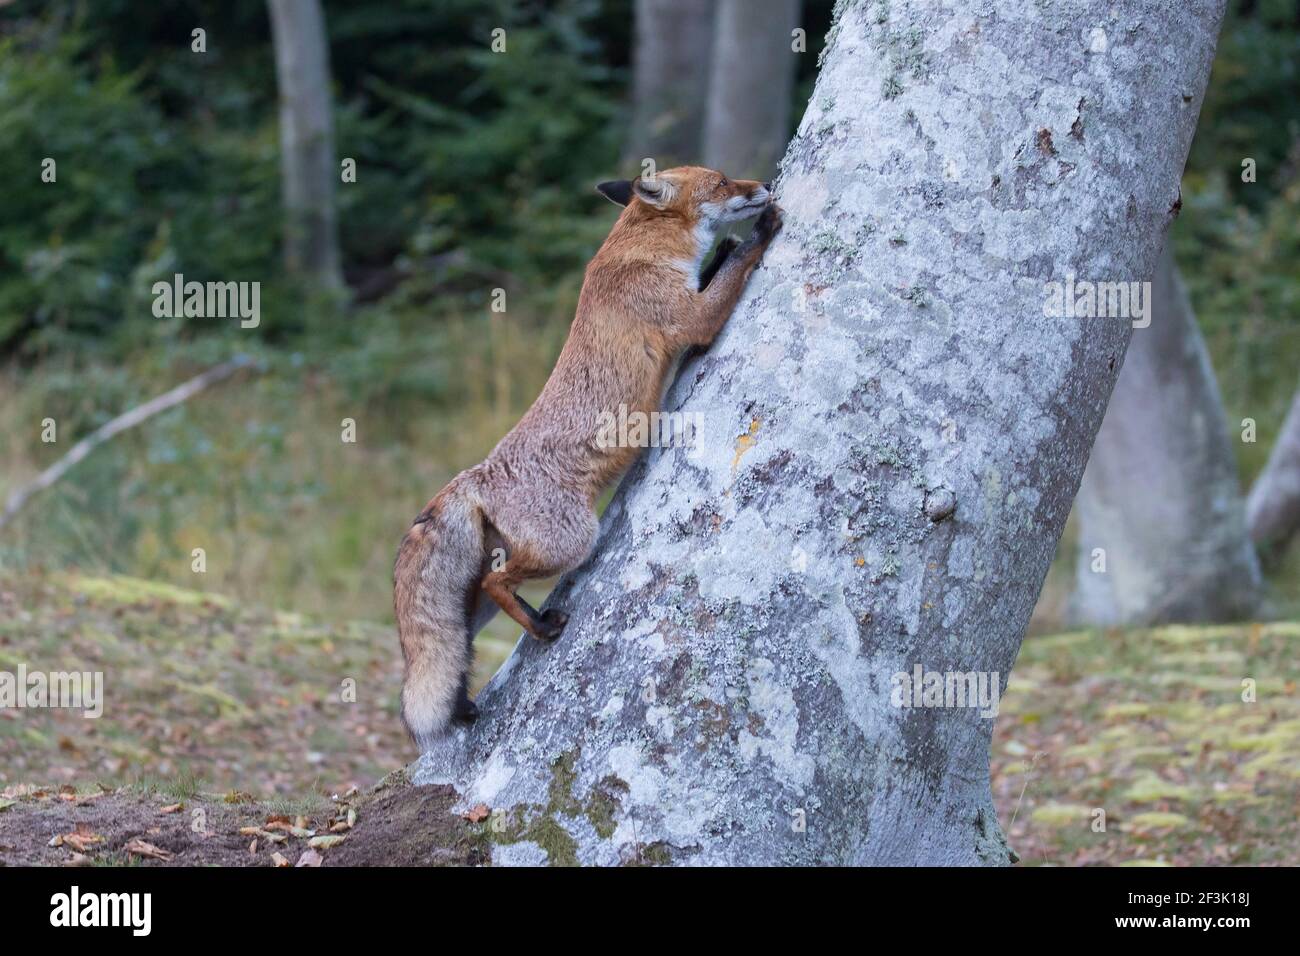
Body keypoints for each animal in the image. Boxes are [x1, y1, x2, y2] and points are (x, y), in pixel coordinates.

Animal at [394, 165, 784, 749]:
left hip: (477, 599)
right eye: (720, 181)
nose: (763, 185)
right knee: (497, 582)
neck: (646, 252)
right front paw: (760, 232)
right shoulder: (691, 319)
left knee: (464, 629)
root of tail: (475, 475)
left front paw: (730, 245)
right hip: (573, 539)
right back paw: (540, 628)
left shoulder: (690, 300)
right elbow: (732, 271)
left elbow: (719, 266)